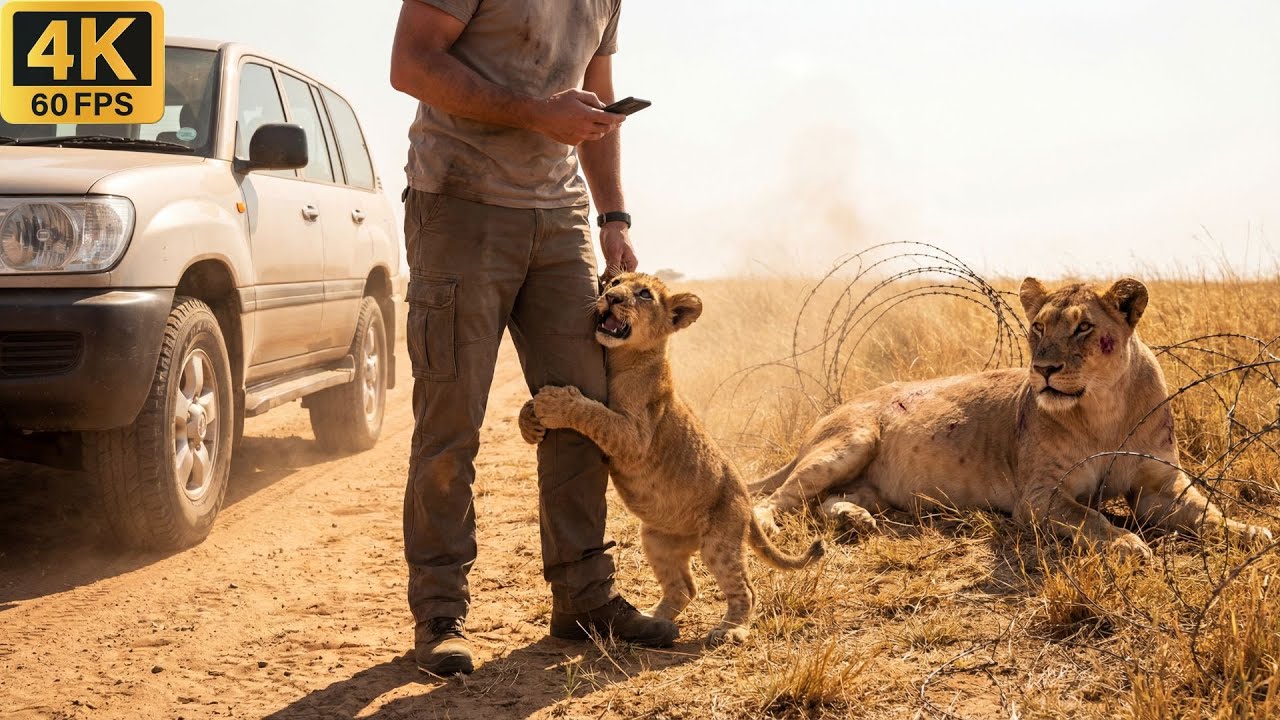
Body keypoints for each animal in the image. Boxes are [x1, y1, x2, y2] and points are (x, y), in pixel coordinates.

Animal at [520, 272, 824, 647]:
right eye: (615, 282)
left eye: (644, 294)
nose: (612, 297)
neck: (618, 360)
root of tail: (746, 498)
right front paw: (528, 420)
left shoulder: (635, 436)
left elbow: (595, 413)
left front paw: (555, 403)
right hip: (657, 540)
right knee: (685, 588)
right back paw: (653, 620)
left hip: (719, 540)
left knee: (745, 589)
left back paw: (731, 629)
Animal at [752, 277, 1273, 559]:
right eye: (1037, 327)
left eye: (1084, 327)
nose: (1044, 369)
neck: (1103, 409)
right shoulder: (1039, 496)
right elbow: (1090, 517)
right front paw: (1127, 543)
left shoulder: (1159, 486)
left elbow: (1208, 511)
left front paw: (1250, 532)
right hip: (852, 439)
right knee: (777, 499)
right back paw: (772, 526)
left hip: (870, 484)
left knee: (828, 501)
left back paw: (856, 518)